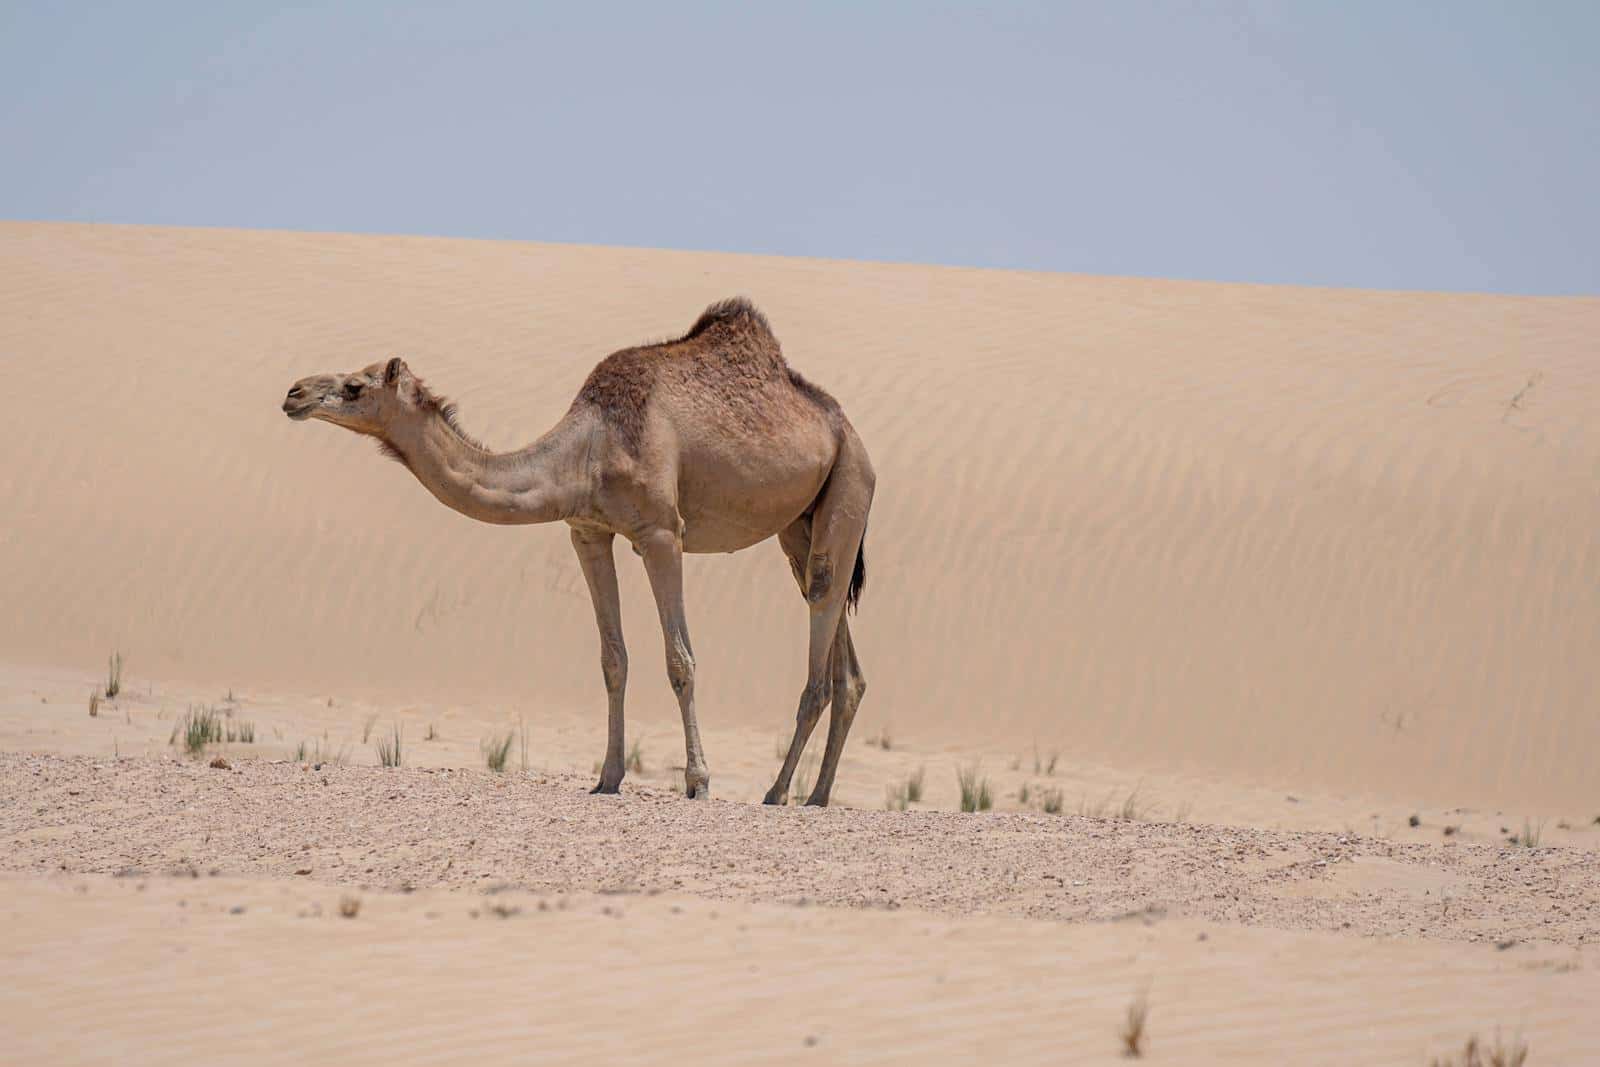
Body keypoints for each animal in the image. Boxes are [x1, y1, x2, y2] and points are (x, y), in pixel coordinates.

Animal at [282, 298, 875, 806]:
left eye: (354, 386)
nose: (294, 393)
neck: (588, 449)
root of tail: (847, 427)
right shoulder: (587, 531)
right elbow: (613, 659)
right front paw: (607, 778)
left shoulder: (662, 532)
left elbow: (679, 660)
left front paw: (698, 781)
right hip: (798, 525)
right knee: (841, 653)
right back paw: (818, 797)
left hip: (850, 485)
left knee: (822, 624)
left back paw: (778, 793)